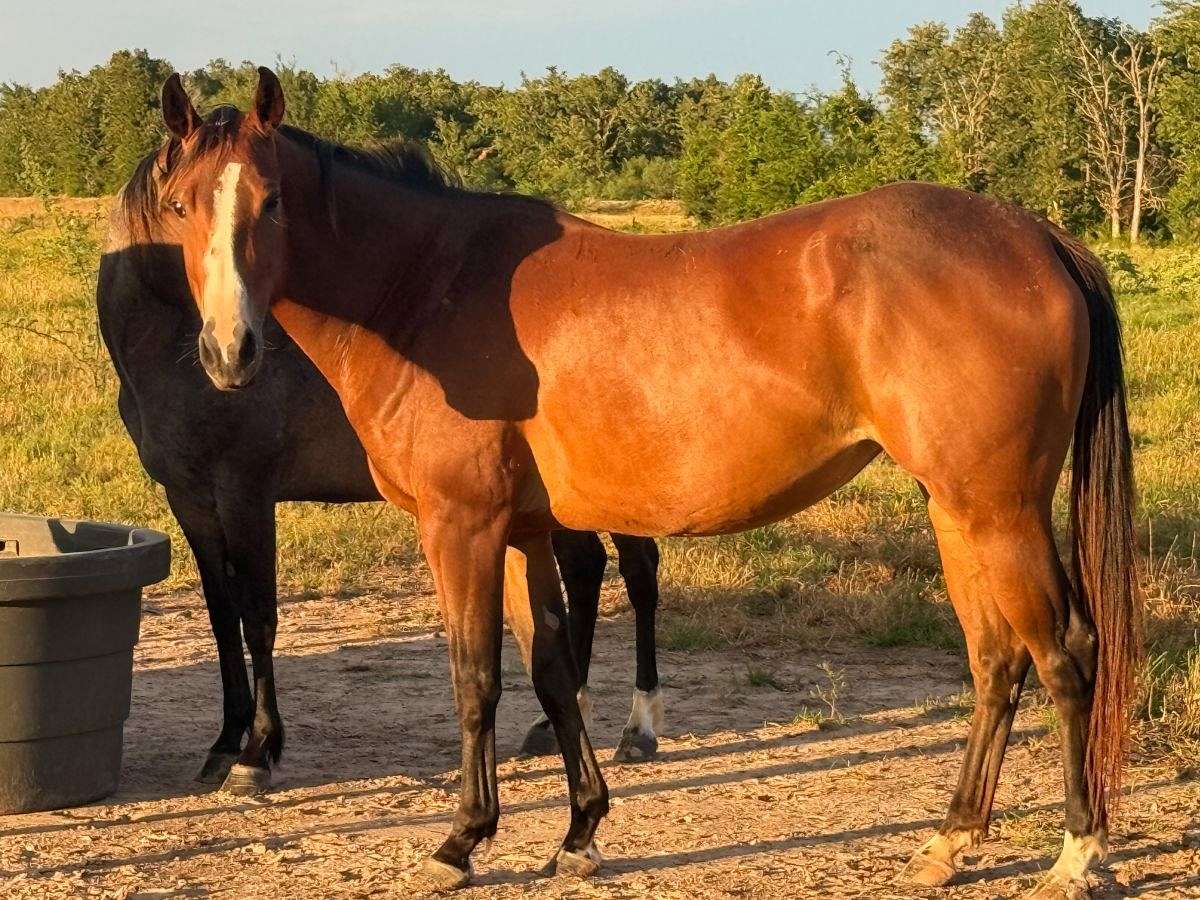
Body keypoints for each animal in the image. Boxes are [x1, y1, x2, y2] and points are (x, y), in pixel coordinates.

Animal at [100, 170, 665, 798]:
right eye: (183, 208)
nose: (233, 350)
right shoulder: (190, 500)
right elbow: (223, 618)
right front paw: (225, 744)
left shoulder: (246, 494)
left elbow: (258, 616)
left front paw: (257, 751)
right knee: (589, 569)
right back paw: (559, 722)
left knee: (637, 573)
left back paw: (638, 729)